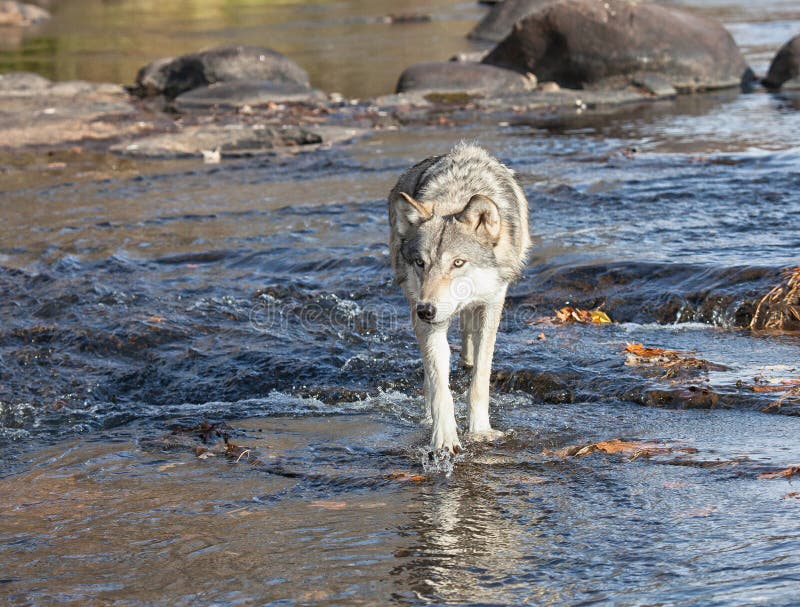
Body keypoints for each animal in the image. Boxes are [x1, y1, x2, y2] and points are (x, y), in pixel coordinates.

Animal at [388, 142, 531, 454]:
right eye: (420, 263)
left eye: (458, 263)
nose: (426, 310)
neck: (456, 196)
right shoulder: (427, 319)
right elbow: (441, 387)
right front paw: (443, 438)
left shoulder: (492, 303)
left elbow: (479, 380)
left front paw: (480, 431)